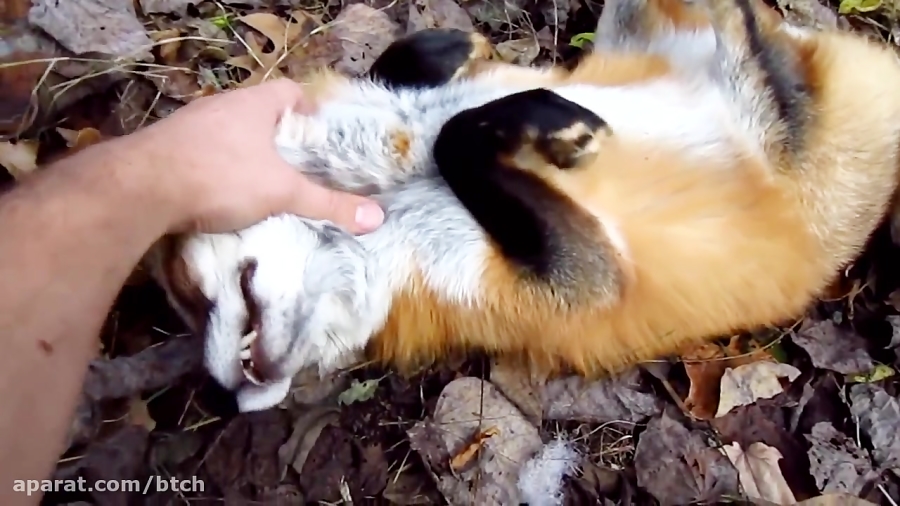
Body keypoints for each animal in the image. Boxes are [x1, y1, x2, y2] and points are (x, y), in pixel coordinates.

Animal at [143, 0, 900, 412]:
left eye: (191, 296)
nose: (225, 393)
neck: (388, 190)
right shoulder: (583, 278)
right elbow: (458, 133)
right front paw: (547, 121)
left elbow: (425, 79)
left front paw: (465, 58)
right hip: (777, 124)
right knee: (758, 56)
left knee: (746, 30)